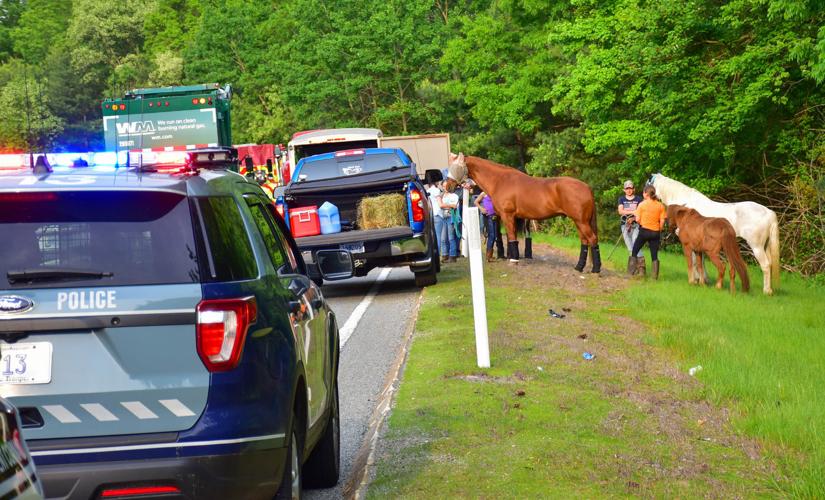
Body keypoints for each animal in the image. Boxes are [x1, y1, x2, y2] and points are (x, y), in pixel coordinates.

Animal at [445, 153, 601, 272]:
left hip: (581, 221)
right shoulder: (510, 217)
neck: (500, 181)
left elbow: (512, 237)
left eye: (455, 168)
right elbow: (511, 237)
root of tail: (587, 187)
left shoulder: (507, 216)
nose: (447, 186)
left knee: (592, 239)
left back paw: (595, 269)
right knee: (584, 241)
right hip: (579, 222)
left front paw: (514, 260)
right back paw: (579, 267)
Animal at [651, 173, 779, 295]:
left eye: (648, 183)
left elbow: (694, 262)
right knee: (770, 264)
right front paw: (703, 280)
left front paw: (696, 280)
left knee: (765, 266)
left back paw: (766, 291)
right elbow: (700, 261)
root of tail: (769, 212)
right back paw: (770, 290)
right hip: (765, 246)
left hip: (756, 247)